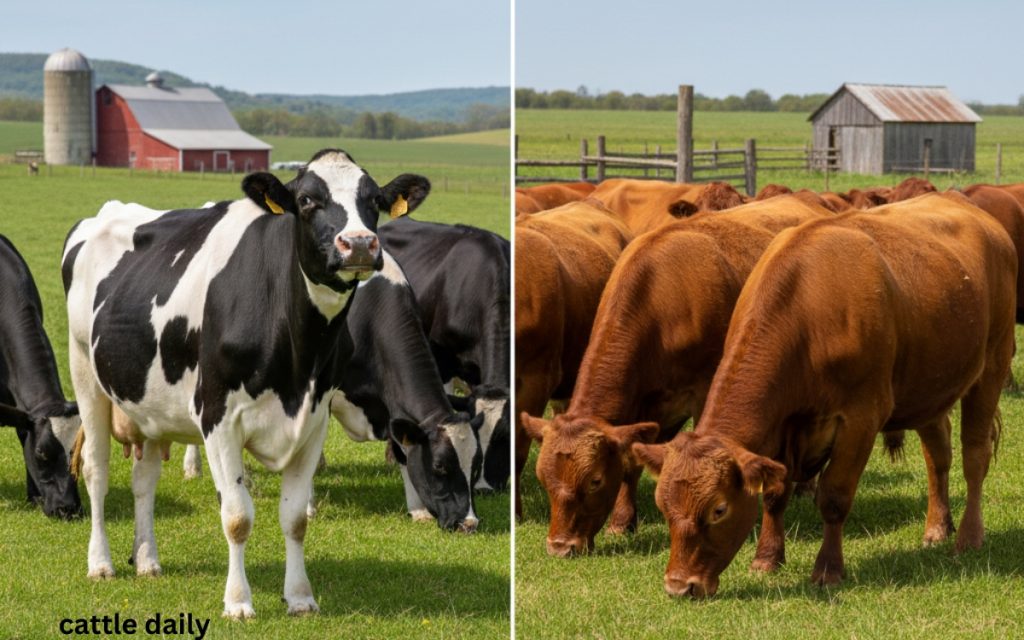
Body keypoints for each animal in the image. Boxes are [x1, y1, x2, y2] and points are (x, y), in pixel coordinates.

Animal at [62, 149, 436, 618]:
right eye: (307, 200)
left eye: (374, 201)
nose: (359, 244)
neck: (298, 358)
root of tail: (105, 213)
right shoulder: (218, 418)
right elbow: (237, 517)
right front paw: (238, 602)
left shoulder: (314, 421)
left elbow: (295, 519)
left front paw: (300, 597)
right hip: (85, 373)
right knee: (96, 469)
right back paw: (101, 562)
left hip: (149, 404)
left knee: (143, 480)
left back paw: (147, 559)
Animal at [633, 193, 1015, 598]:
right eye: (662, 506)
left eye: (719, 509)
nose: (679, 585)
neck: (807, 317)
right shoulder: (780, 425)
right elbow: (774, 494)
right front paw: (766, 558)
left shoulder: (860, 419)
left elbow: (834, 496)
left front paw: (828, 568)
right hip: (929, 387)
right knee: (938, 456)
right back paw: (937, 528)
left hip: (992, 366)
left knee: (975, 456)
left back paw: (968, 537)